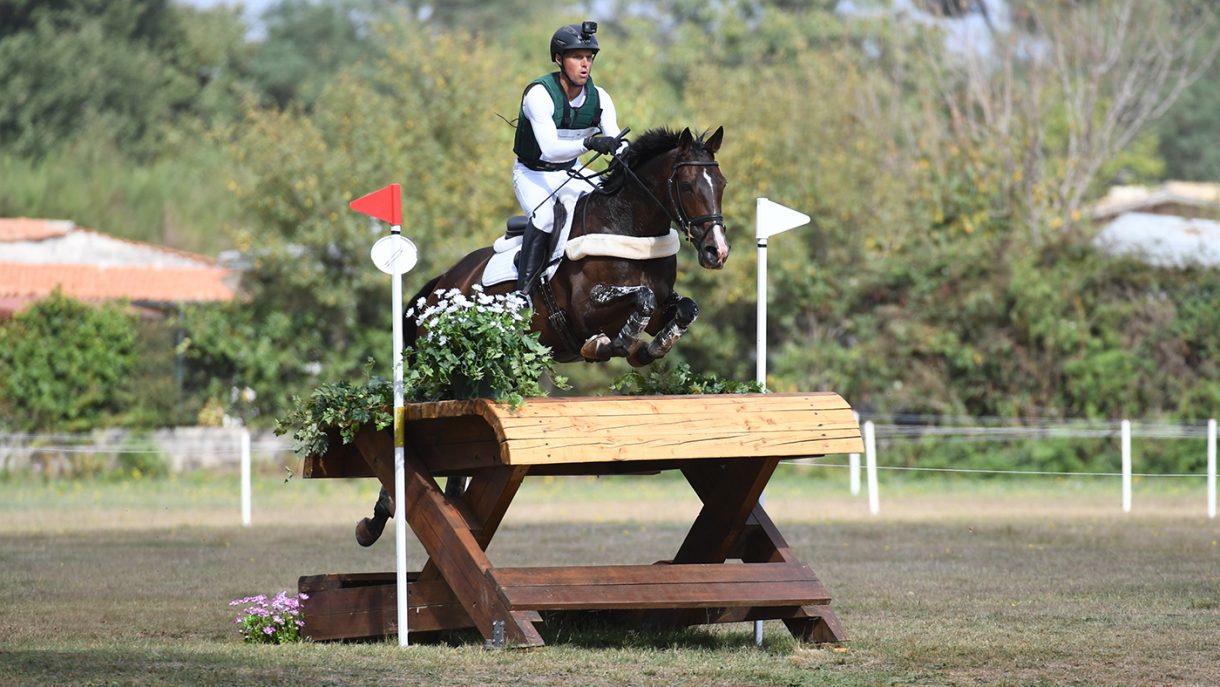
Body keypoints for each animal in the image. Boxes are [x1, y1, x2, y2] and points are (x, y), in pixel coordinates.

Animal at [353, 125, 729, 547]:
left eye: (722, 184)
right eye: (687, 185)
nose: (717, 251)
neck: (629, 225)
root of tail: (440, 285)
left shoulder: (664, 304)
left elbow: (682, 309)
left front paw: (647, 350)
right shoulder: (587, 308)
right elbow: (639, 303)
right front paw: (608, 345)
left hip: (474, 368)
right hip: (440, 363)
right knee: (411, 414)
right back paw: (377, 518)